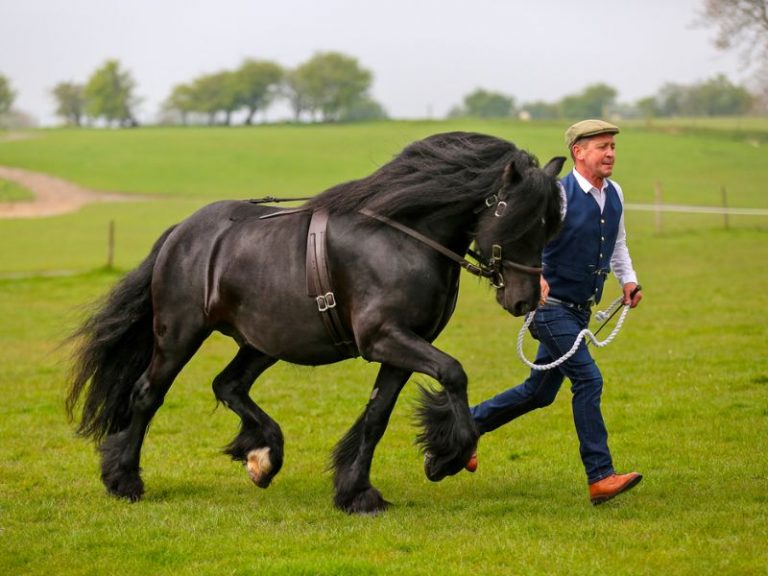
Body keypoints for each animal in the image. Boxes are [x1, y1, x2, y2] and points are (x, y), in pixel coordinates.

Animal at [66, 131, 565, 514]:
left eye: (550, 226)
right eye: (517, 220)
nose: (525, 299)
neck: (403, 237)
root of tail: (182, 232)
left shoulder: (404, 346)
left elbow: (377, 416)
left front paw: (357, 492)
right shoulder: (384, 338)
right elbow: (454, 373)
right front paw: (447, 457)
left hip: (262, 342)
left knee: (228, 384)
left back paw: (263, 456)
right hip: (180, 334)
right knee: (148, 394)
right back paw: (124, 480)